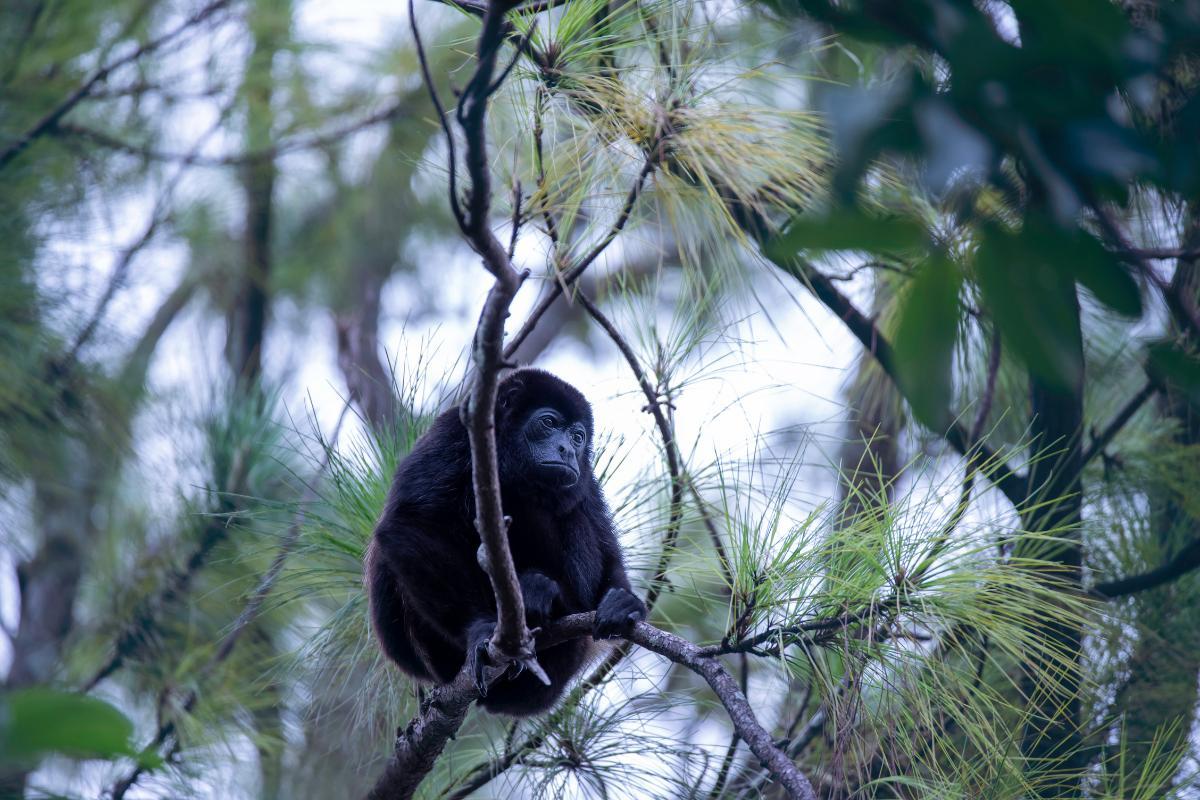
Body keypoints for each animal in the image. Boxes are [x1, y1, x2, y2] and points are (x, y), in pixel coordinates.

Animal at [365, 368, 646, 715]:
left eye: (578, 437)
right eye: (549, 422)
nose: (568, 450)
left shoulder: (586, 477)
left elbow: (607, 550)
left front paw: (623, 602)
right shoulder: (452, 433)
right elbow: (411, 523)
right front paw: (479, 630)